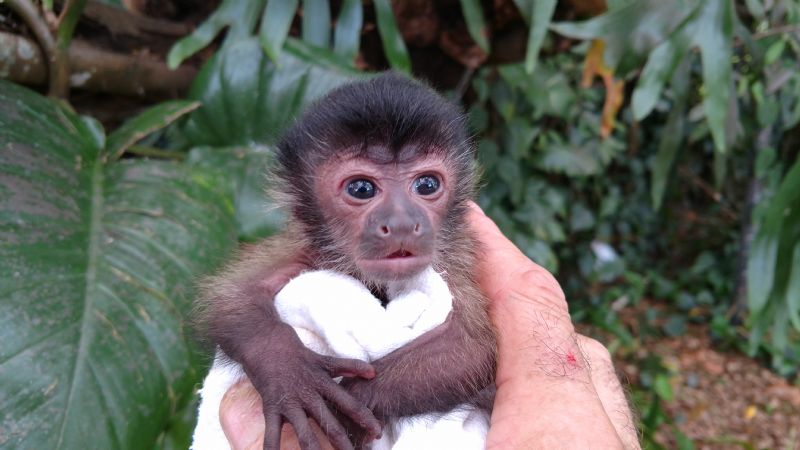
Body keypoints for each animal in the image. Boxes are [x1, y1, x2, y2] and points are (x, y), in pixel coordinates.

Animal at [197, 72, 496, 450]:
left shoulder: (454, 254)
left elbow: (471, 349)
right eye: (361, 189)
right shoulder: (304, 244)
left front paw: (348, 408)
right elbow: (231, 296)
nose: (401, 224)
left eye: (427, 184)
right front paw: (290, 375)